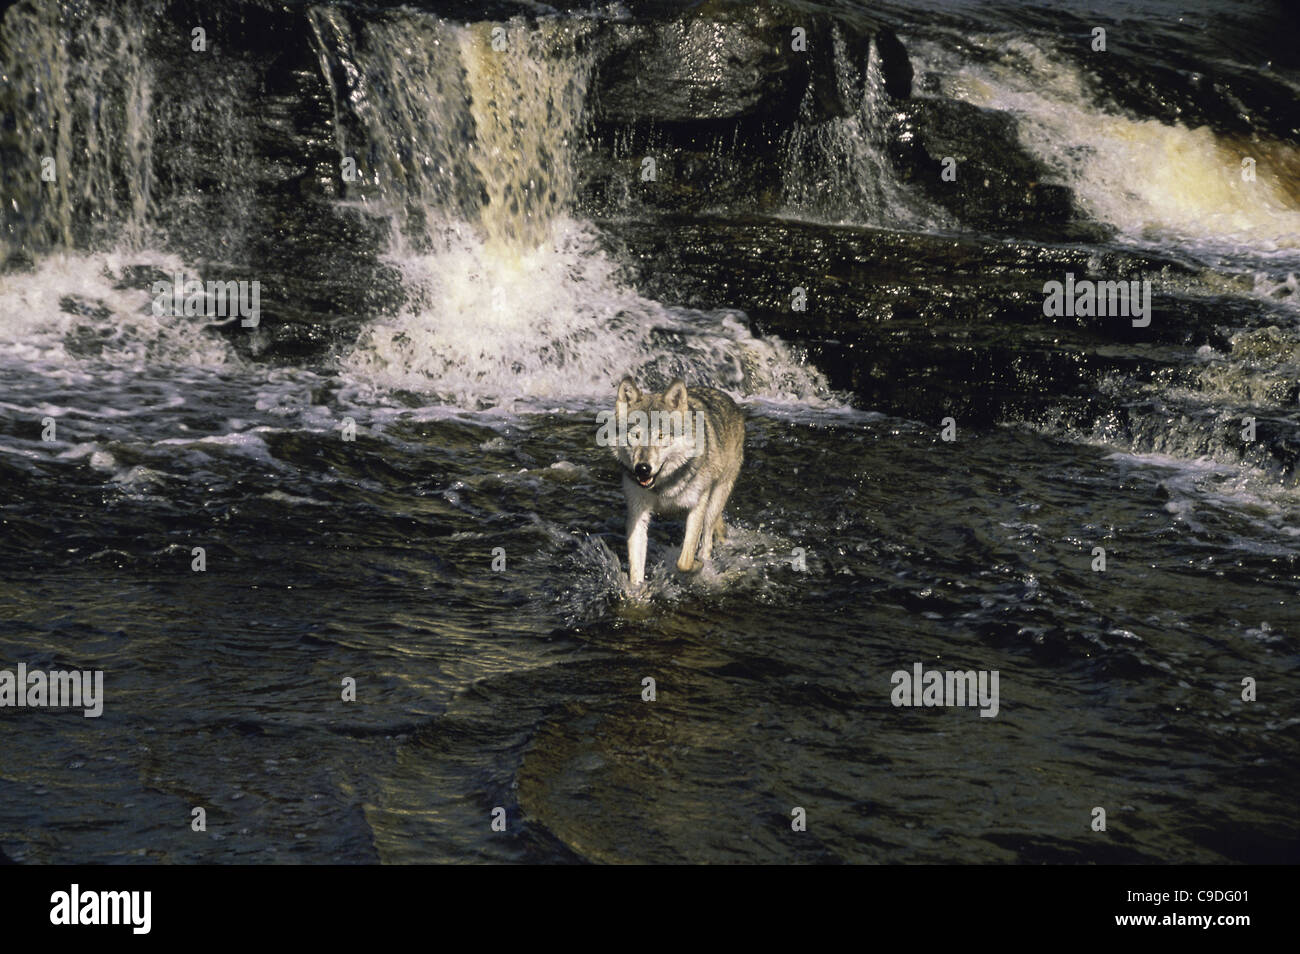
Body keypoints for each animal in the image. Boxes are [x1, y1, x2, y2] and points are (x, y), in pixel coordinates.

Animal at [610, 377, 745, 588]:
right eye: (635, 435)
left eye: (660, 435)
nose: (642, 468)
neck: (662, 487)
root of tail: (729, 399)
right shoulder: (637, 513)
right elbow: (636, 569)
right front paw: (637, 591)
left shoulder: (698, 505)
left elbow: (684, 561)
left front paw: (696, 566)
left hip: (713, 503)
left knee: (707, 541)